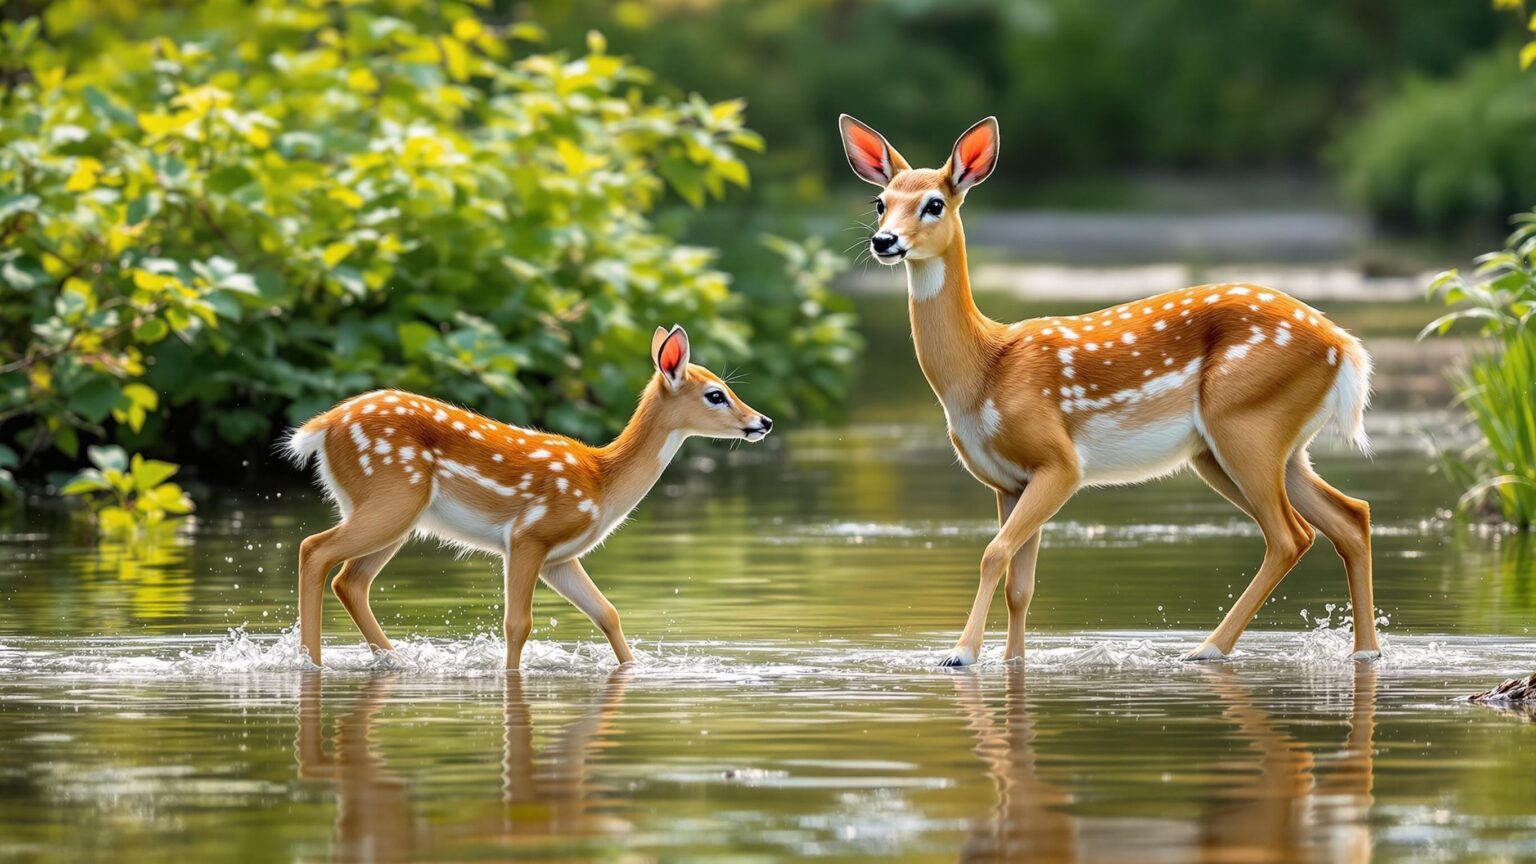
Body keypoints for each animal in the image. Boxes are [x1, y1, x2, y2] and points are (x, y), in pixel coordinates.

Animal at [283, 325, 772, 670]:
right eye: (716, 395)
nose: (763, 421)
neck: (601, 483)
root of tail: (322, 427)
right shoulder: (528, 535)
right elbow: (518, 624)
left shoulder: (561, 557)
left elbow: (608, 612)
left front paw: (635, 668)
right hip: (392, 496)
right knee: (314, 549)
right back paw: (311, 662)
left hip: (394, 514)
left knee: (350, 579)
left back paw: (394, 660)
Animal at [838, 114, 1380, 666]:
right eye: (880, 201)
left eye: (934, 203)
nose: (884, 241)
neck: (984, 369)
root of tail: (1344, 347)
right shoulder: (1007, 482)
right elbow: (1020, 585)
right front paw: (1012, 660)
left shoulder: (1059, 462)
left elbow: (993, 552)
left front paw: (960, 654)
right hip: (1254, 447)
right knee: (1349, 517)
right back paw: (1365, 651)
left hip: (1243, 424)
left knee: (1289, 535)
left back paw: (1206, 648)